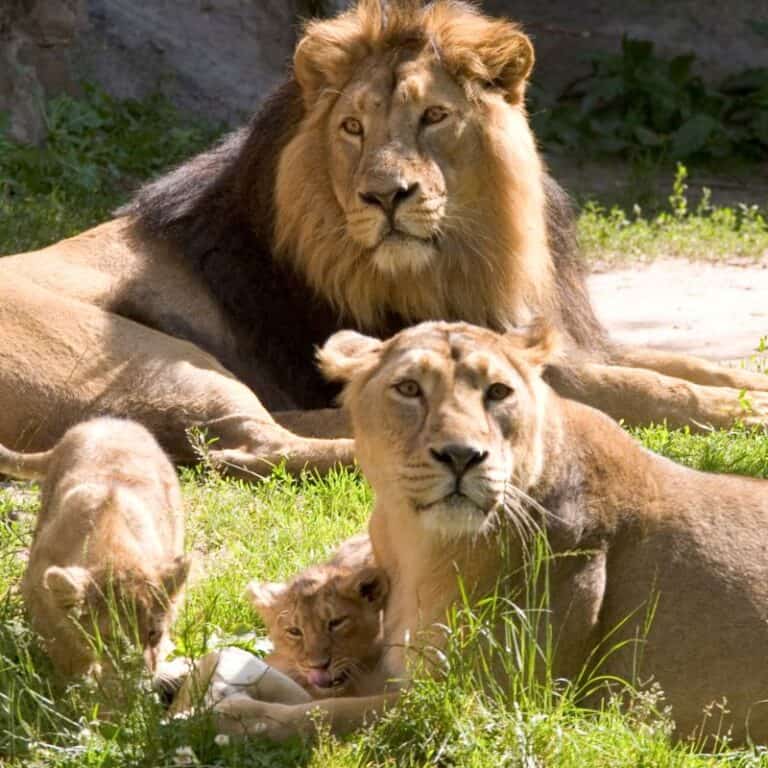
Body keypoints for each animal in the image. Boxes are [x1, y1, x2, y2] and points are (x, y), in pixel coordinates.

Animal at [1, 0, 767, 476]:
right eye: (352, 128)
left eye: (434, 116)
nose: (384, 195)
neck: (478, 251)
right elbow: (652, 388)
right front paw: (745, 413)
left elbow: (681, 365)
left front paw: (744, 387)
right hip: (164, 363)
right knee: (254, 447)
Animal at [1, 418, 190, 678]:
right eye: (114, 640)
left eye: (153, 634)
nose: (141, 677)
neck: (113, 547)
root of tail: (105, 420)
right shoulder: (37, 588)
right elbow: (66, 647)